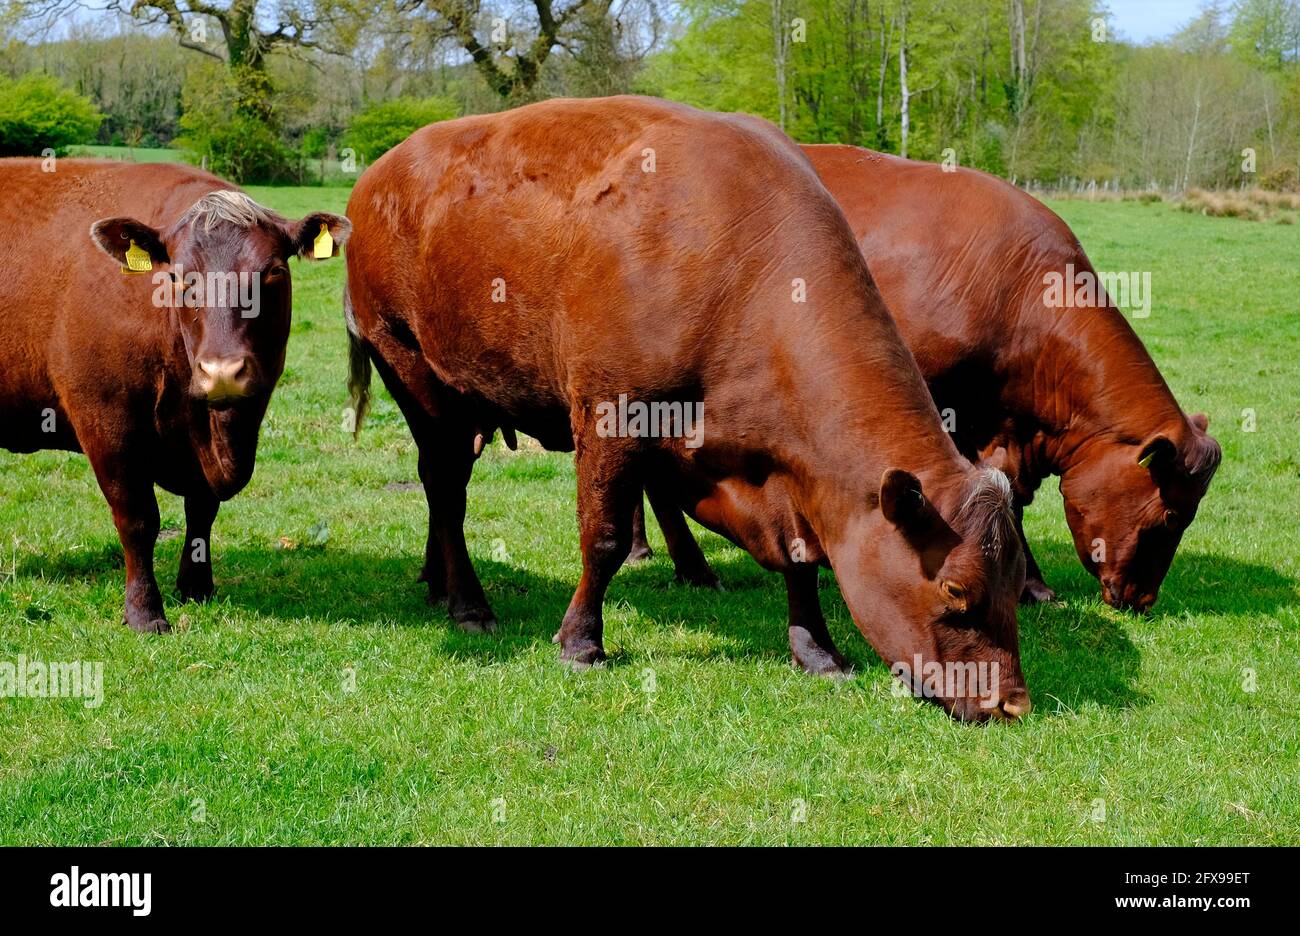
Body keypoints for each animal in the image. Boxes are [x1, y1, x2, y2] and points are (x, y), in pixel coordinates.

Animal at [0, 159, 350, 633]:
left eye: (273, 272)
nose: (222, 373)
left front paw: (197, 587)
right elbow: (138, 520)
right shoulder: (106, 423)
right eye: (179, 277)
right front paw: (144, 611)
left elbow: (202, 510)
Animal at [343, 96, 1030, 721]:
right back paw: (467, 603)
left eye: (1016, 581)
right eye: (956, 589)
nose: (1012, 703)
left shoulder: (777, 468)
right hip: (414, 371)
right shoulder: (610, 416)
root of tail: (379, 175)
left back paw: (436, 582)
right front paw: (581, 642)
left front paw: (816, 651)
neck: (746, 279)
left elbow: (800, 557)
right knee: (446, 487)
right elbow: (604, 538)